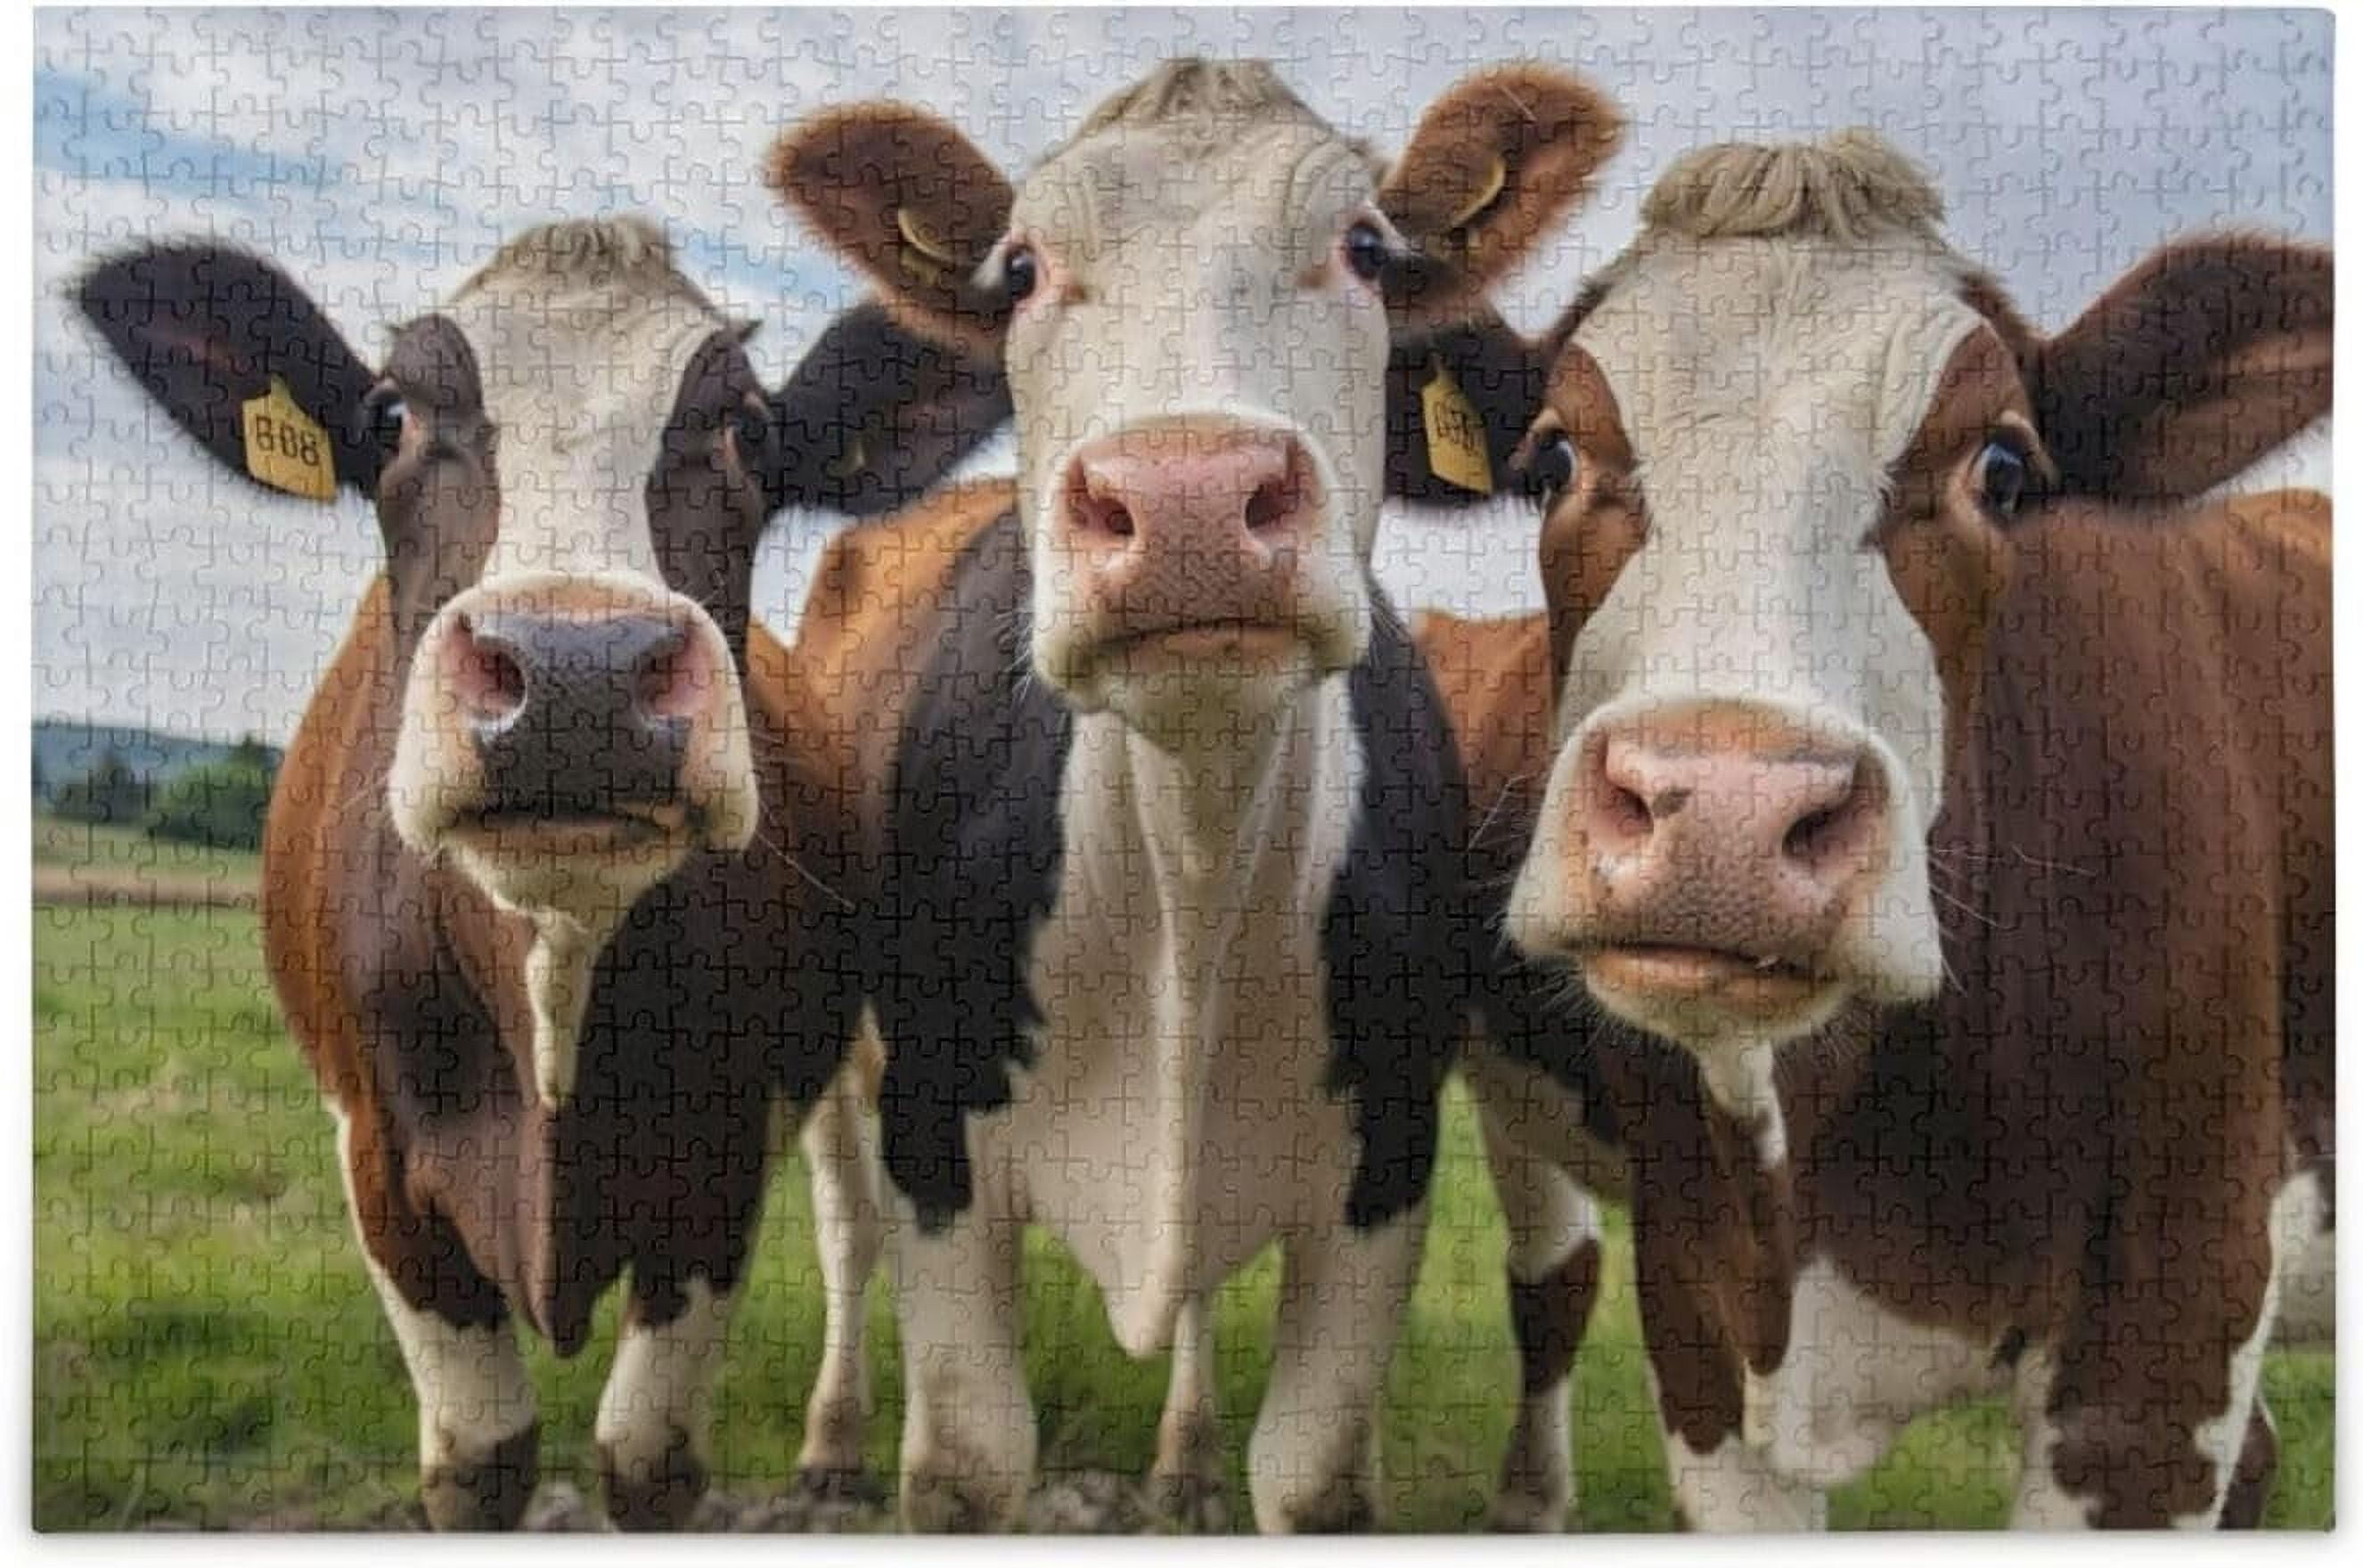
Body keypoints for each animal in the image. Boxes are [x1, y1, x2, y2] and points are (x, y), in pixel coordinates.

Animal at [73, 220, 1008, 1530]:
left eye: (750, 427)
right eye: (390, 415)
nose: (578, 673)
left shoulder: (719, 1168)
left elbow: (646, 1458)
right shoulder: (382, 1164)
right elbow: (481, 1460)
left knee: (851, 1218)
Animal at [764, 58, 1622, 1531]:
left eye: (1365, 248)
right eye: (1023, 268)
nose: (1189, 501)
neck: (1188, 877)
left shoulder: (1385, 1171)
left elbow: (1314, 1473)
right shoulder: (935, 1141)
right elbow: (963, 1457)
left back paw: (1183, 1454)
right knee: (841, 1223)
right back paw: (827, 1439)